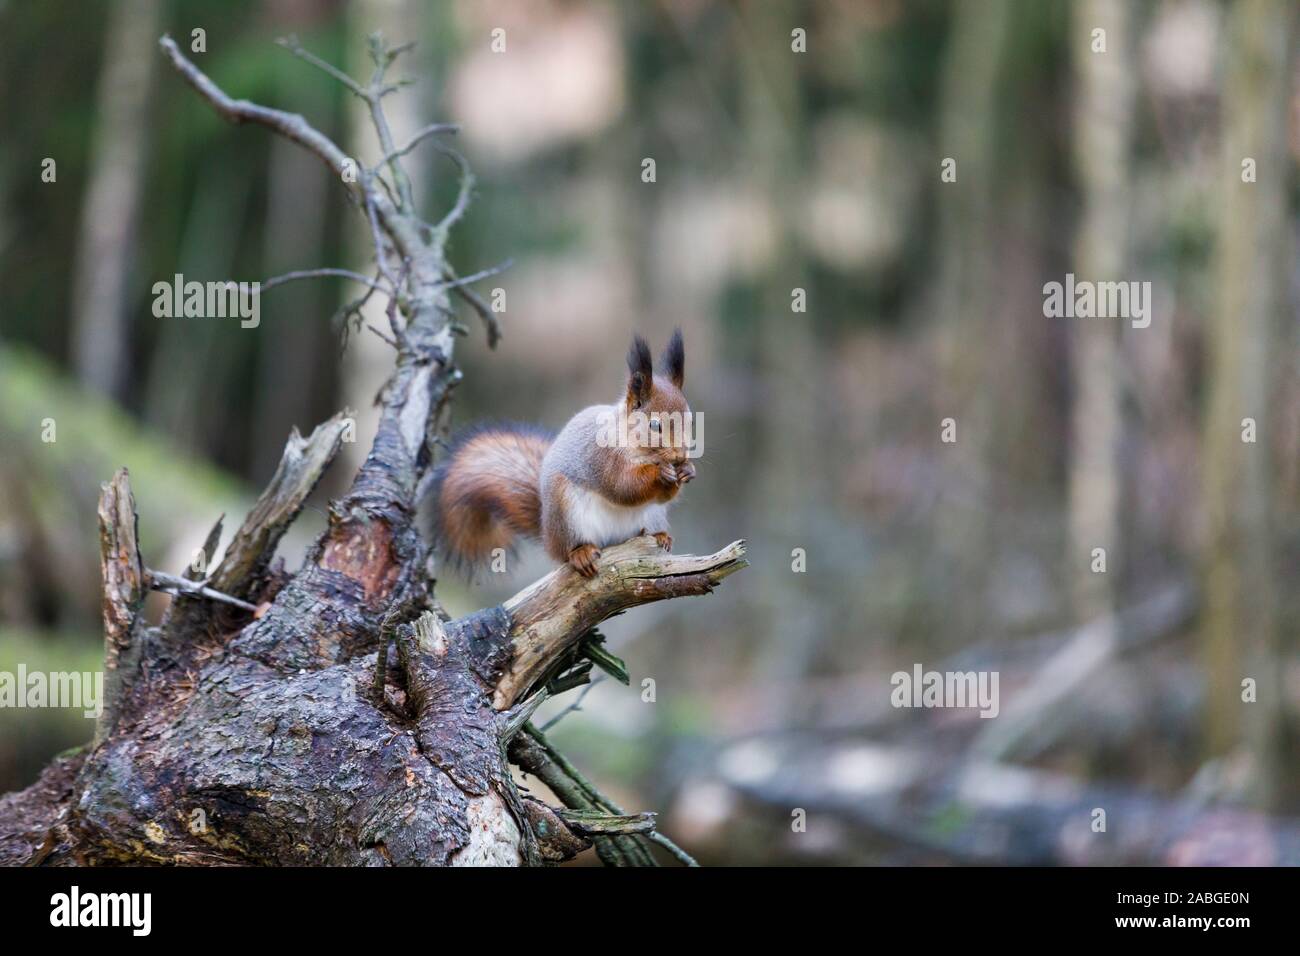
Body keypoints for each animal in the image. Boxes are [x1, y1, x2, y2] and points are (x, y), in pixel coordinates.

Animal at [430, 330, 695, 578]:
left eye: (691, 420)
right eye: (654, 425)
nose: (680, 456)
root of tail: (547, 532)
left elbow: (659, 496)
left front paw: (687, 471)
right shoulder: (600, 457)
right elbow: (623, 487)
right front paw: (660, 473)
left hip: (652, 515)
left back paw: (659, 536)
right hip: (566, 512)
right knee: (567, 551)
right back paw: (581, 553)